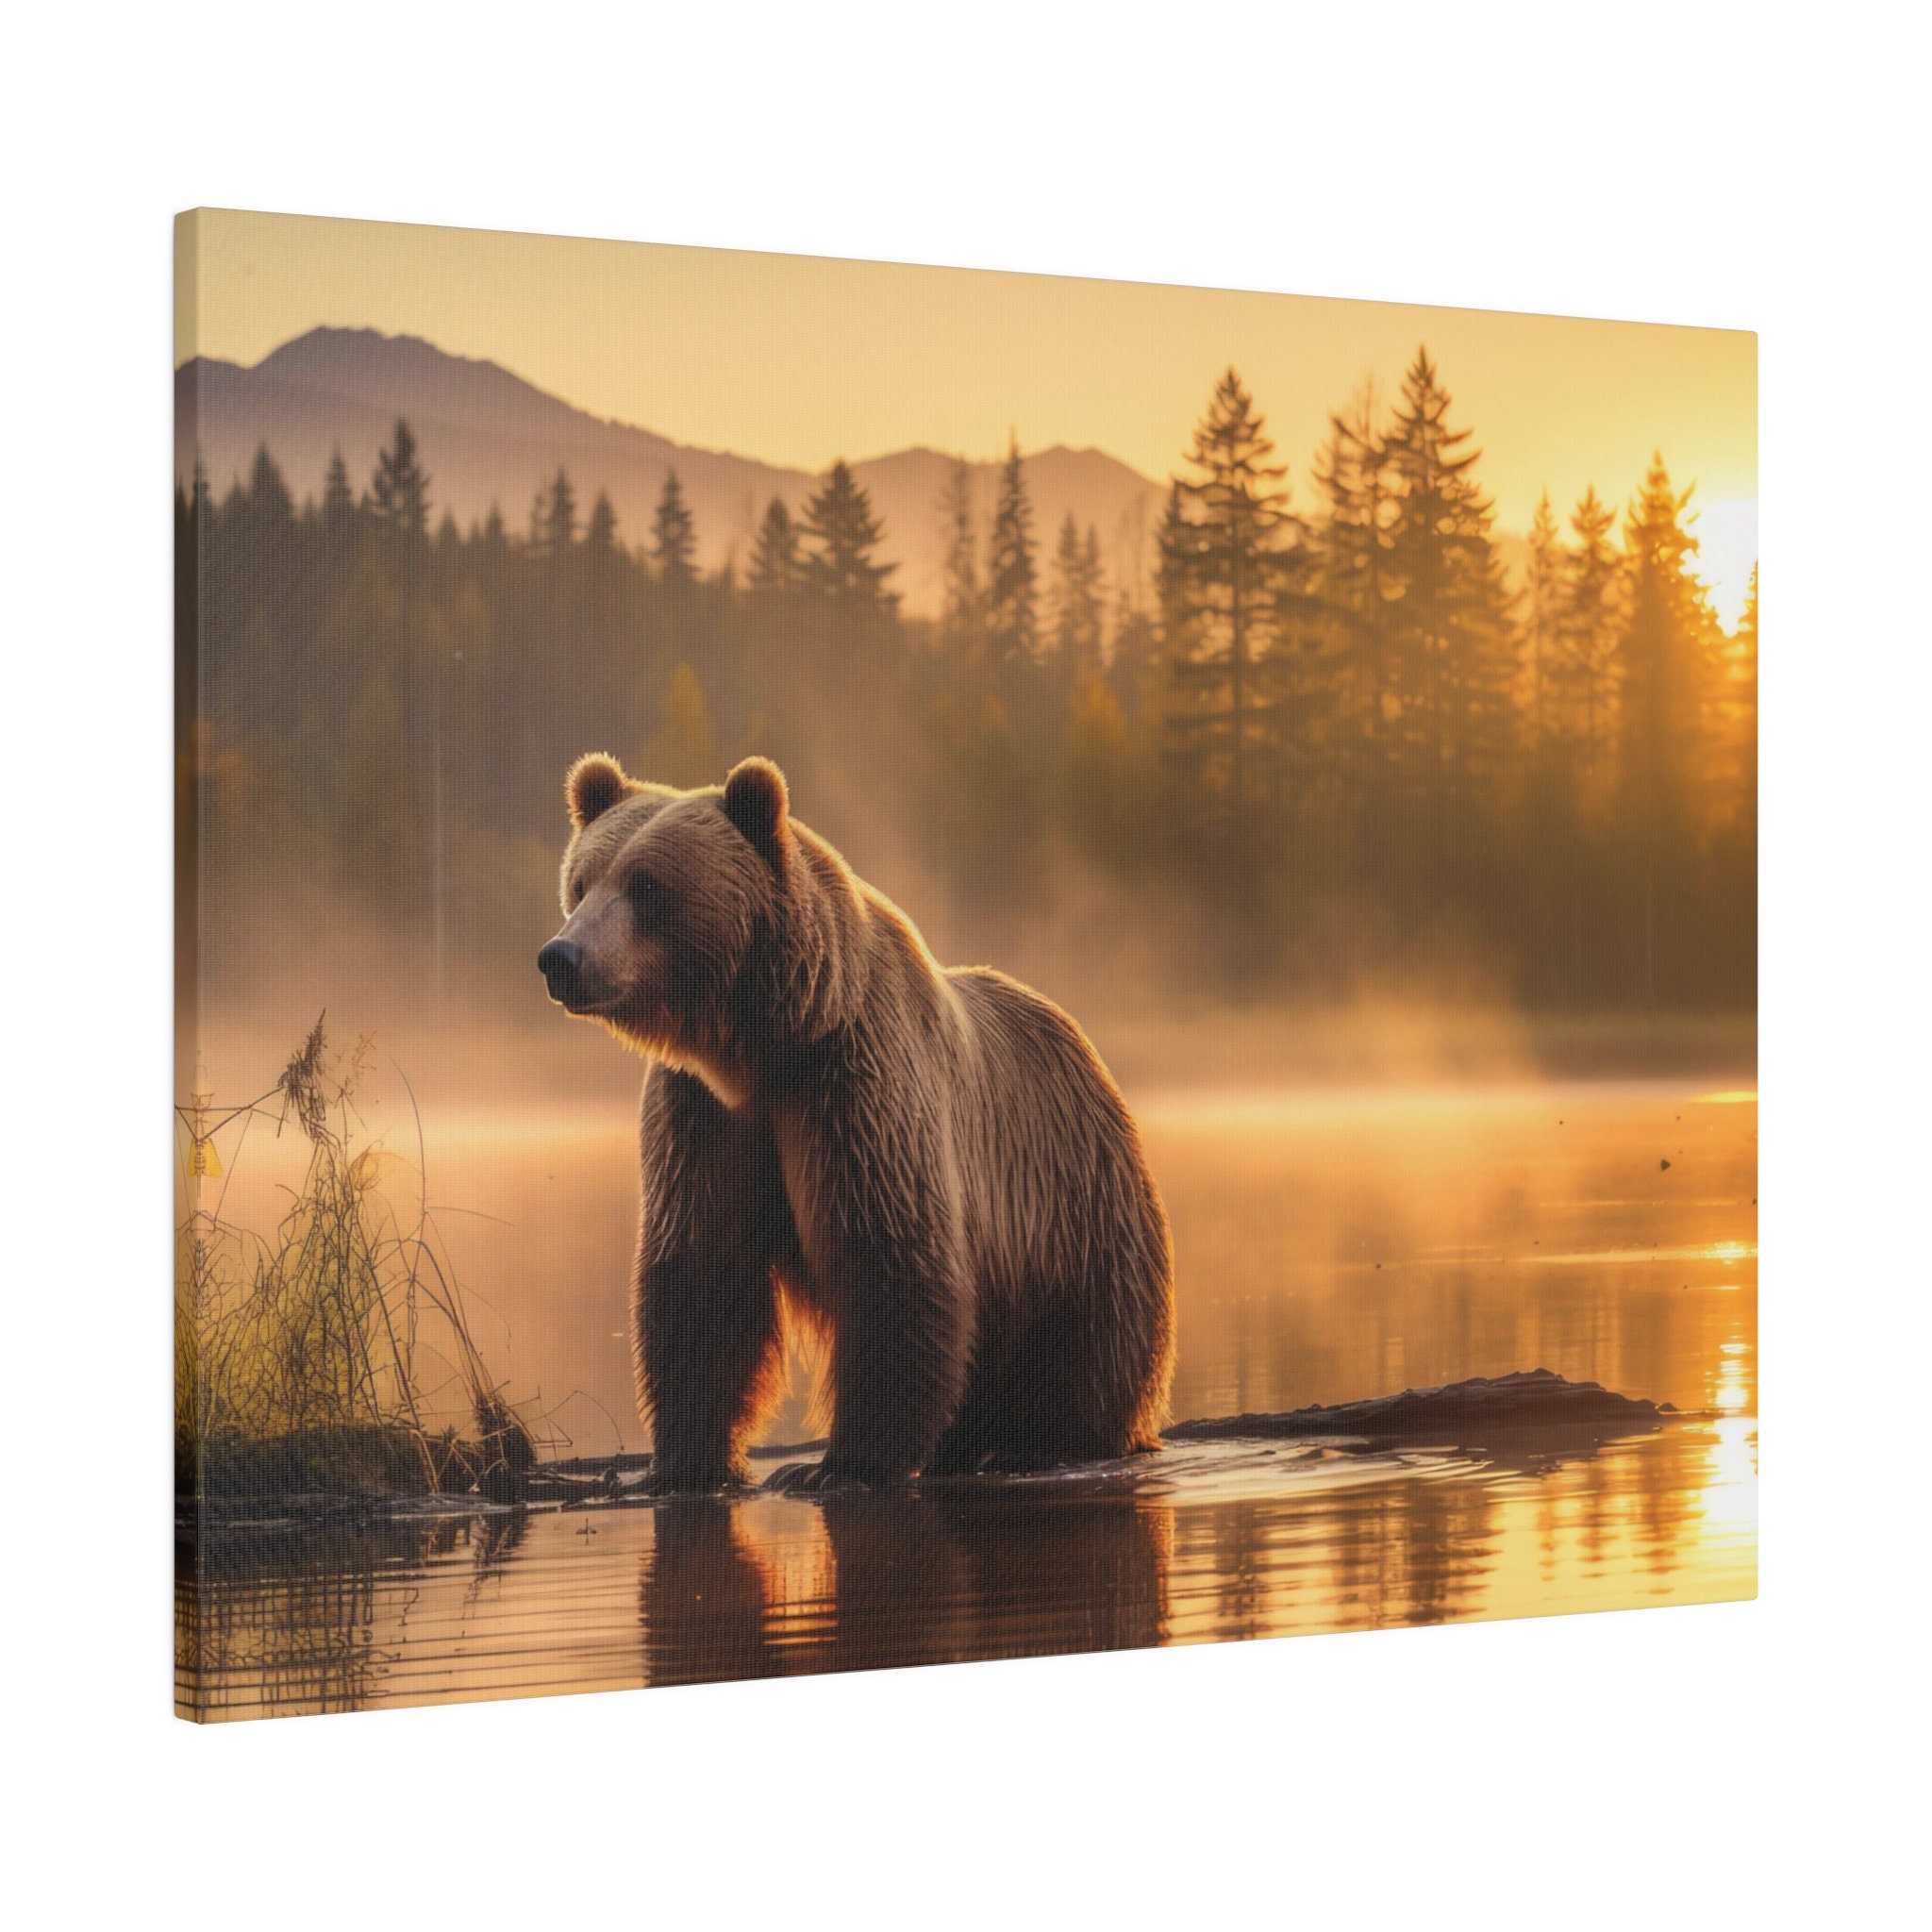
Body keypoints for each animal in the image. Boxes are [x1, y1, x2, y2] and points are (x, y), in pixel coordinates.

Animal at [538, 751, 1175, 1493]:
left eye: (646, 885)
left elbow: (887, 1254)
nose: (561, 959)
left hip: (1074, 1208)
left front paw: (839, 1464)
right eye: (581, 882)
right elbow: (704, 1280)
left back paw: (1052, 1442)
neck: (764, 1045)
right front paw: (683, 1464)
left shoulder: (852, 1085)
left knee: (1091, 1355)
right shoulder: (706, 1116)